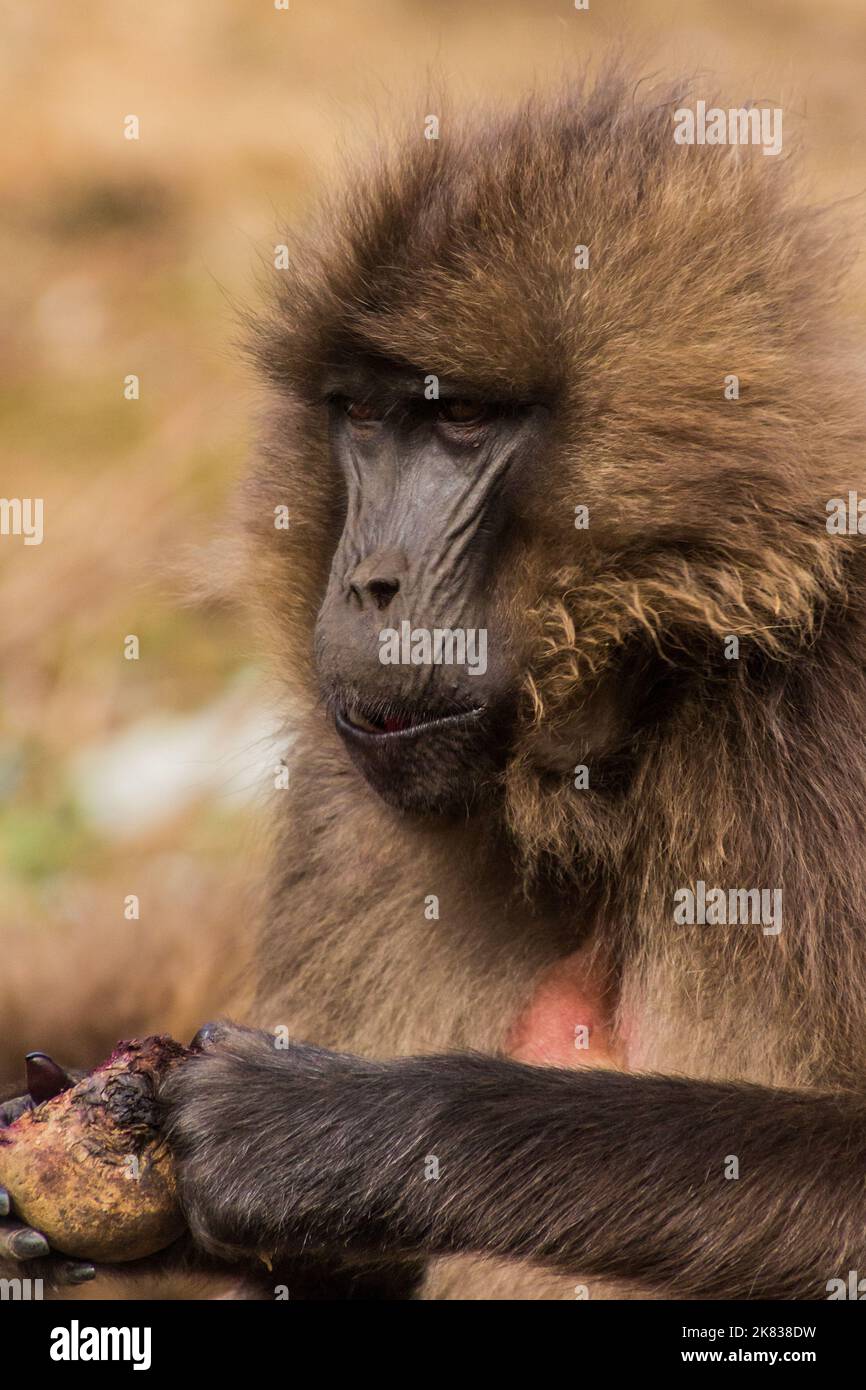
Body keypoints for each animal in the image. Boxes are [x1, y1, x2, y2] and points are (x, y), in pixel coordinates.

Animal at [4, 68, 866, 1300]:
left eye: (458, 416)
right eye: (366, 414)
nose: (369, 582)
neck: (609, 765)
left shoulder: (830, 722)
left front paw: (324, 1129)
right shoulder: (343, 796)